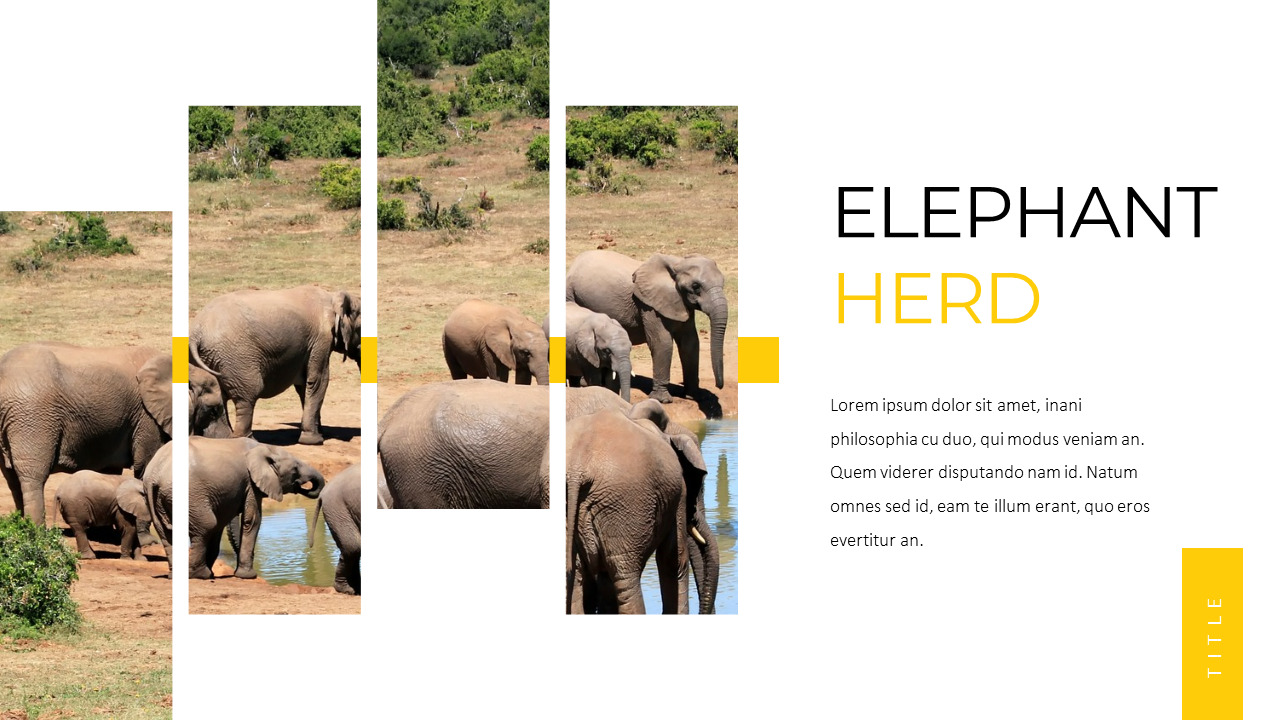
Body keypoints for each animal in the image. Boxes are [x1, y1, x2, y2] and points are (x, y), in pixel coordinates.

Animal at [0, 342, 172, 526]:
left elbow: (111, 471)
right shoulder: (146, 418)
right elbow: (145, 467)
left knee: (12, 478)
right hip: (33, 414)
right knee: (32, 475)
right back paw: (36, 531)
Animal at [187, 436, 325, 580]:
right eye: (295, 469)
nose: (299, 485)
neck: (265, 447)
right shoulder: (250, 482)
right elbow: (253, 520)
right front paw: (249, 576)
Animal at [189, 284, 361, 445]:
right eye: (361, 329)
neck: (332, 297)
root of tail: (197, 331)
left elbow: (304, 386)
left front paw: (319, 432)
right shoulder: (321, 339)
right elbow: (318, 381)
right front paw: (315, 440)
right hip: (236, 356)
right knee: (248, 393)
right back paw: (247, 440)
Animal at [566, 250, 728, 403]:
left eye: (723, 282)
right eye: (695, 286)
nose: (719, 386)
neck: (677, 262)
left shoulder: (681, 302)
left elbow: (690, 343)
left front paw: (694, 396)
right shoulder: (649, 306)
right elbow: (662, 343)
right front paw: (663, 400)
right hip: (570, 293)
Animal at [566, 400, 718, 614]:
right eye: (698, 485)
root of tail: (576, 469)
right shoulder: (679, 492)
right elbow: (674, 559)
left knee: (578, 577)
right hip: (622, 502)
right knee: (626, 579)